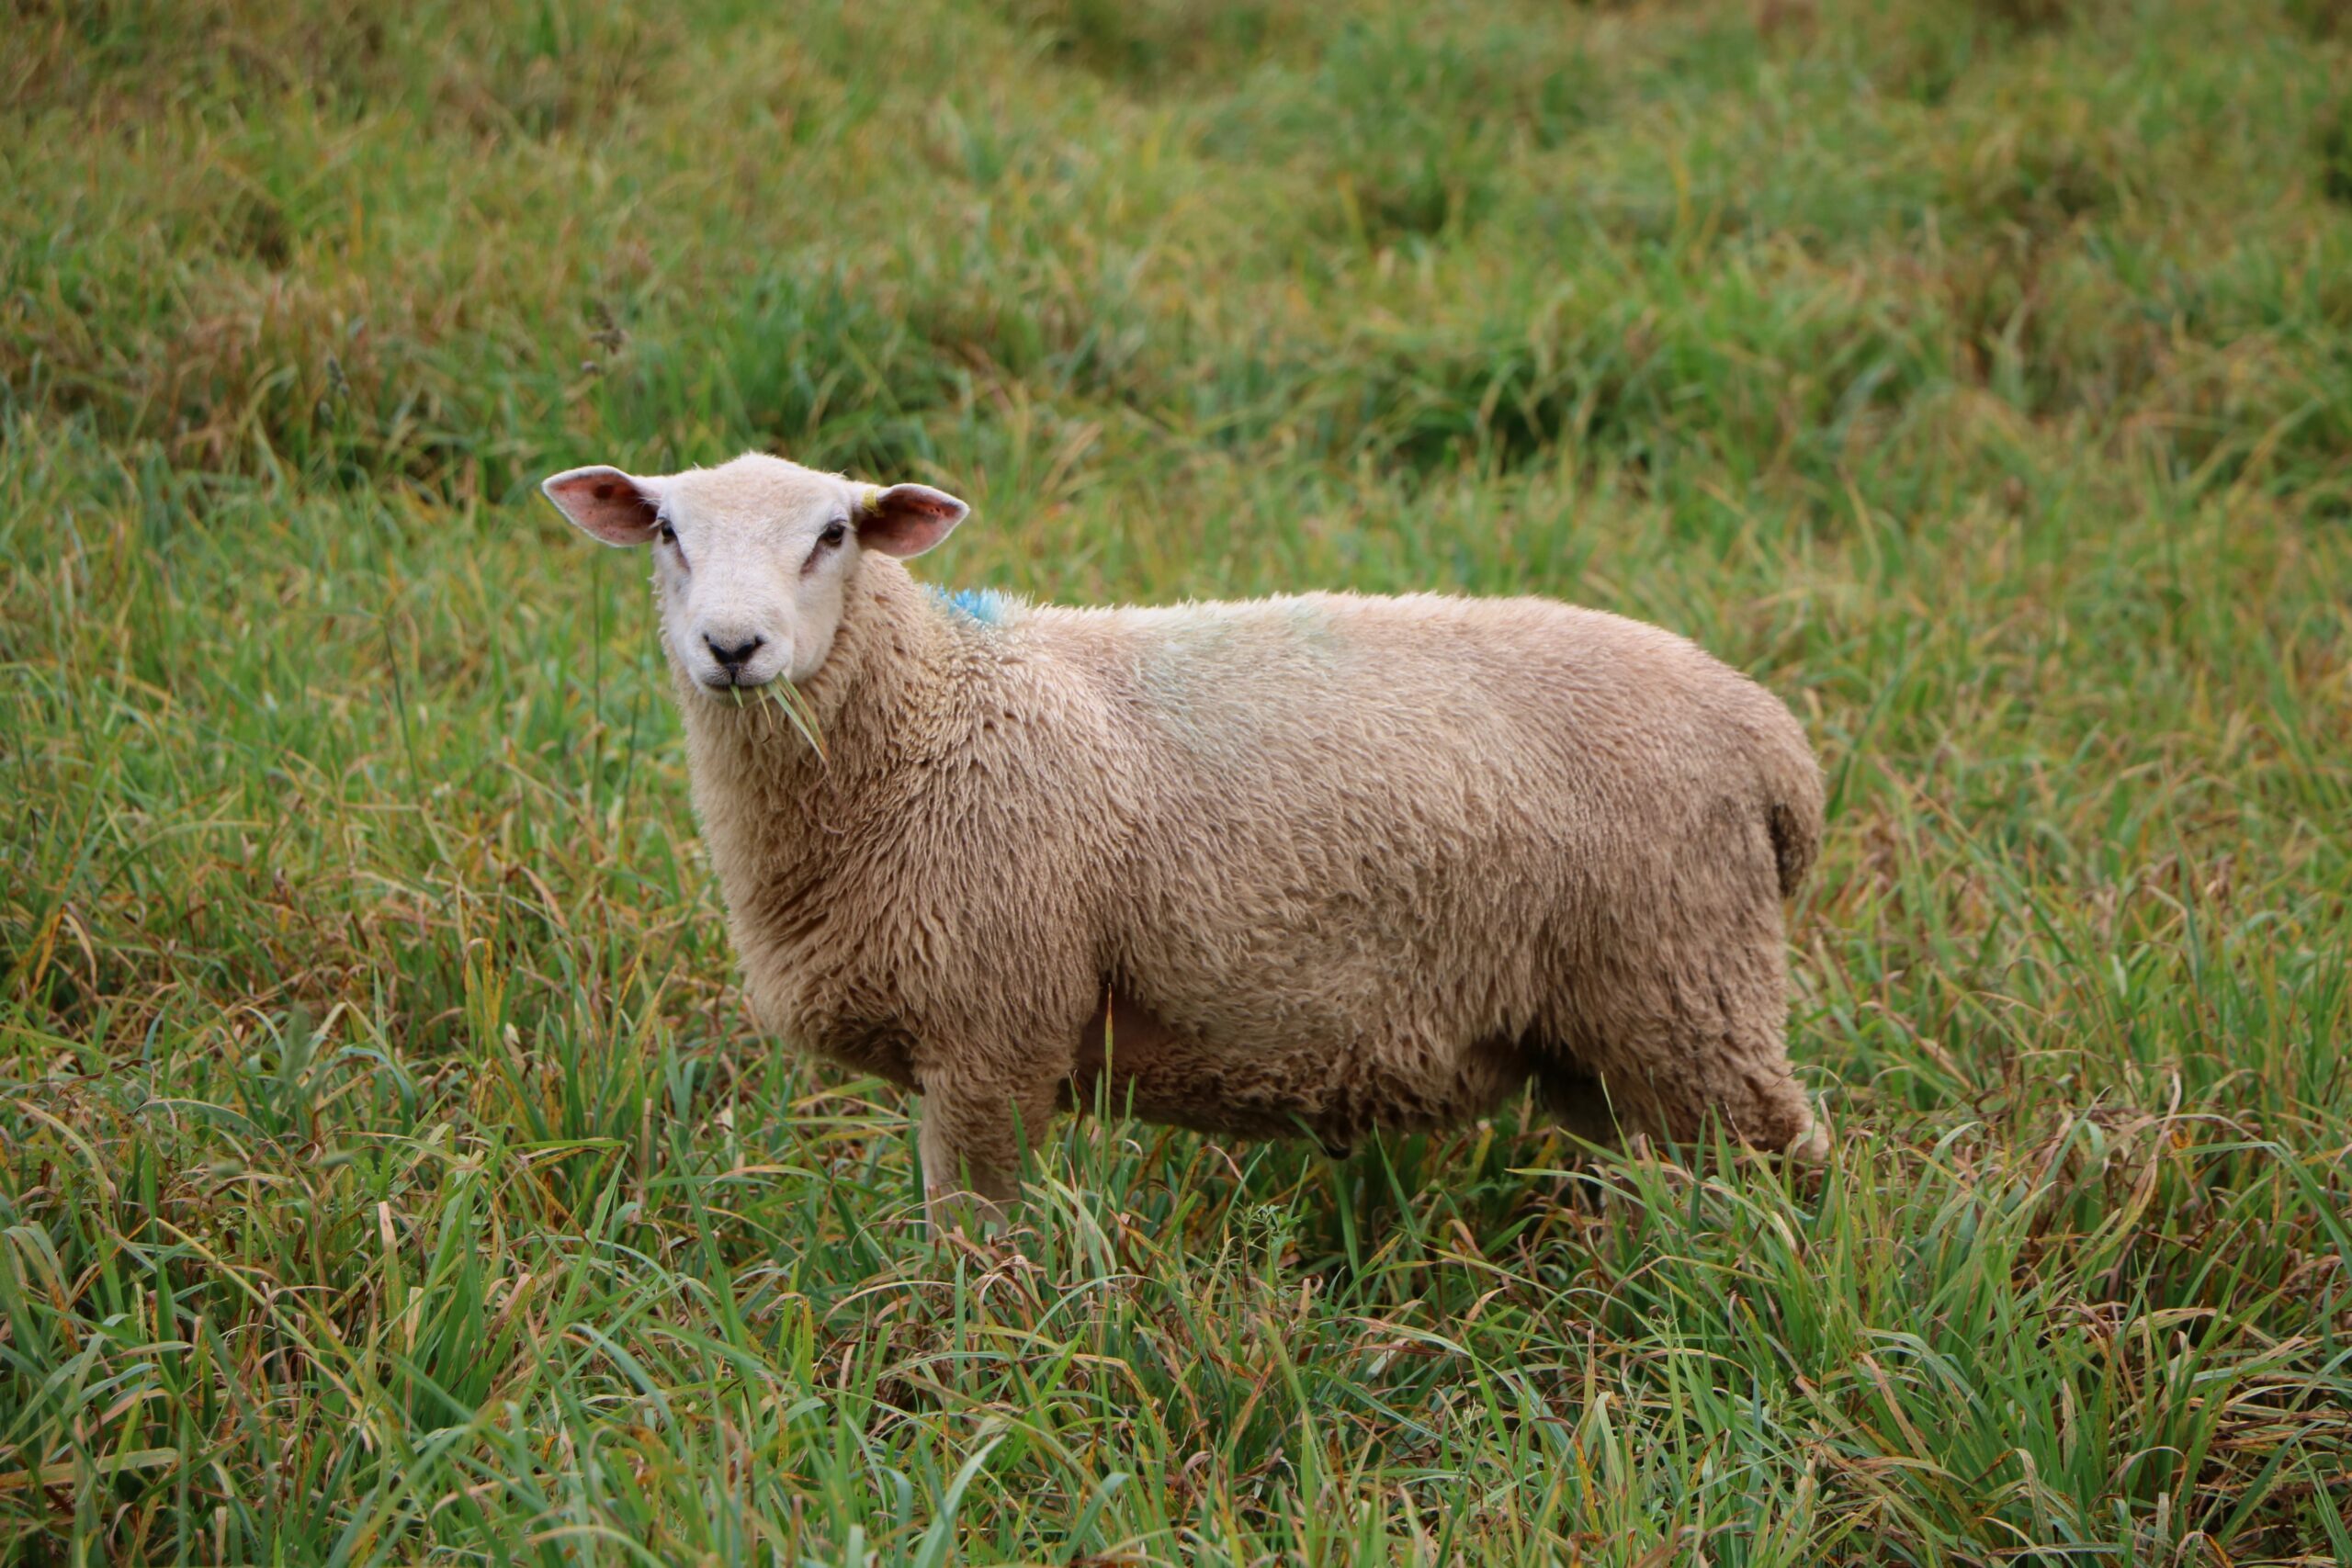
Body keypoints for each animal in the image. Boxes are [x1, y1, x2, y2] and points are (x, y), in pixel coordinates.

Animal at [541, 452, 1829, 1229]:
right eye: (666, 531)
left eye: (832, 537)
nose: (733, 646)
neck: (935, 716)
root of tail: (1772, 742)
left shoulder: (994, 1027)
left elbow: (977, 1246)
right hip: (1602, 1026)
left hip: (1682, 980)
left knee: (1791, 1160)